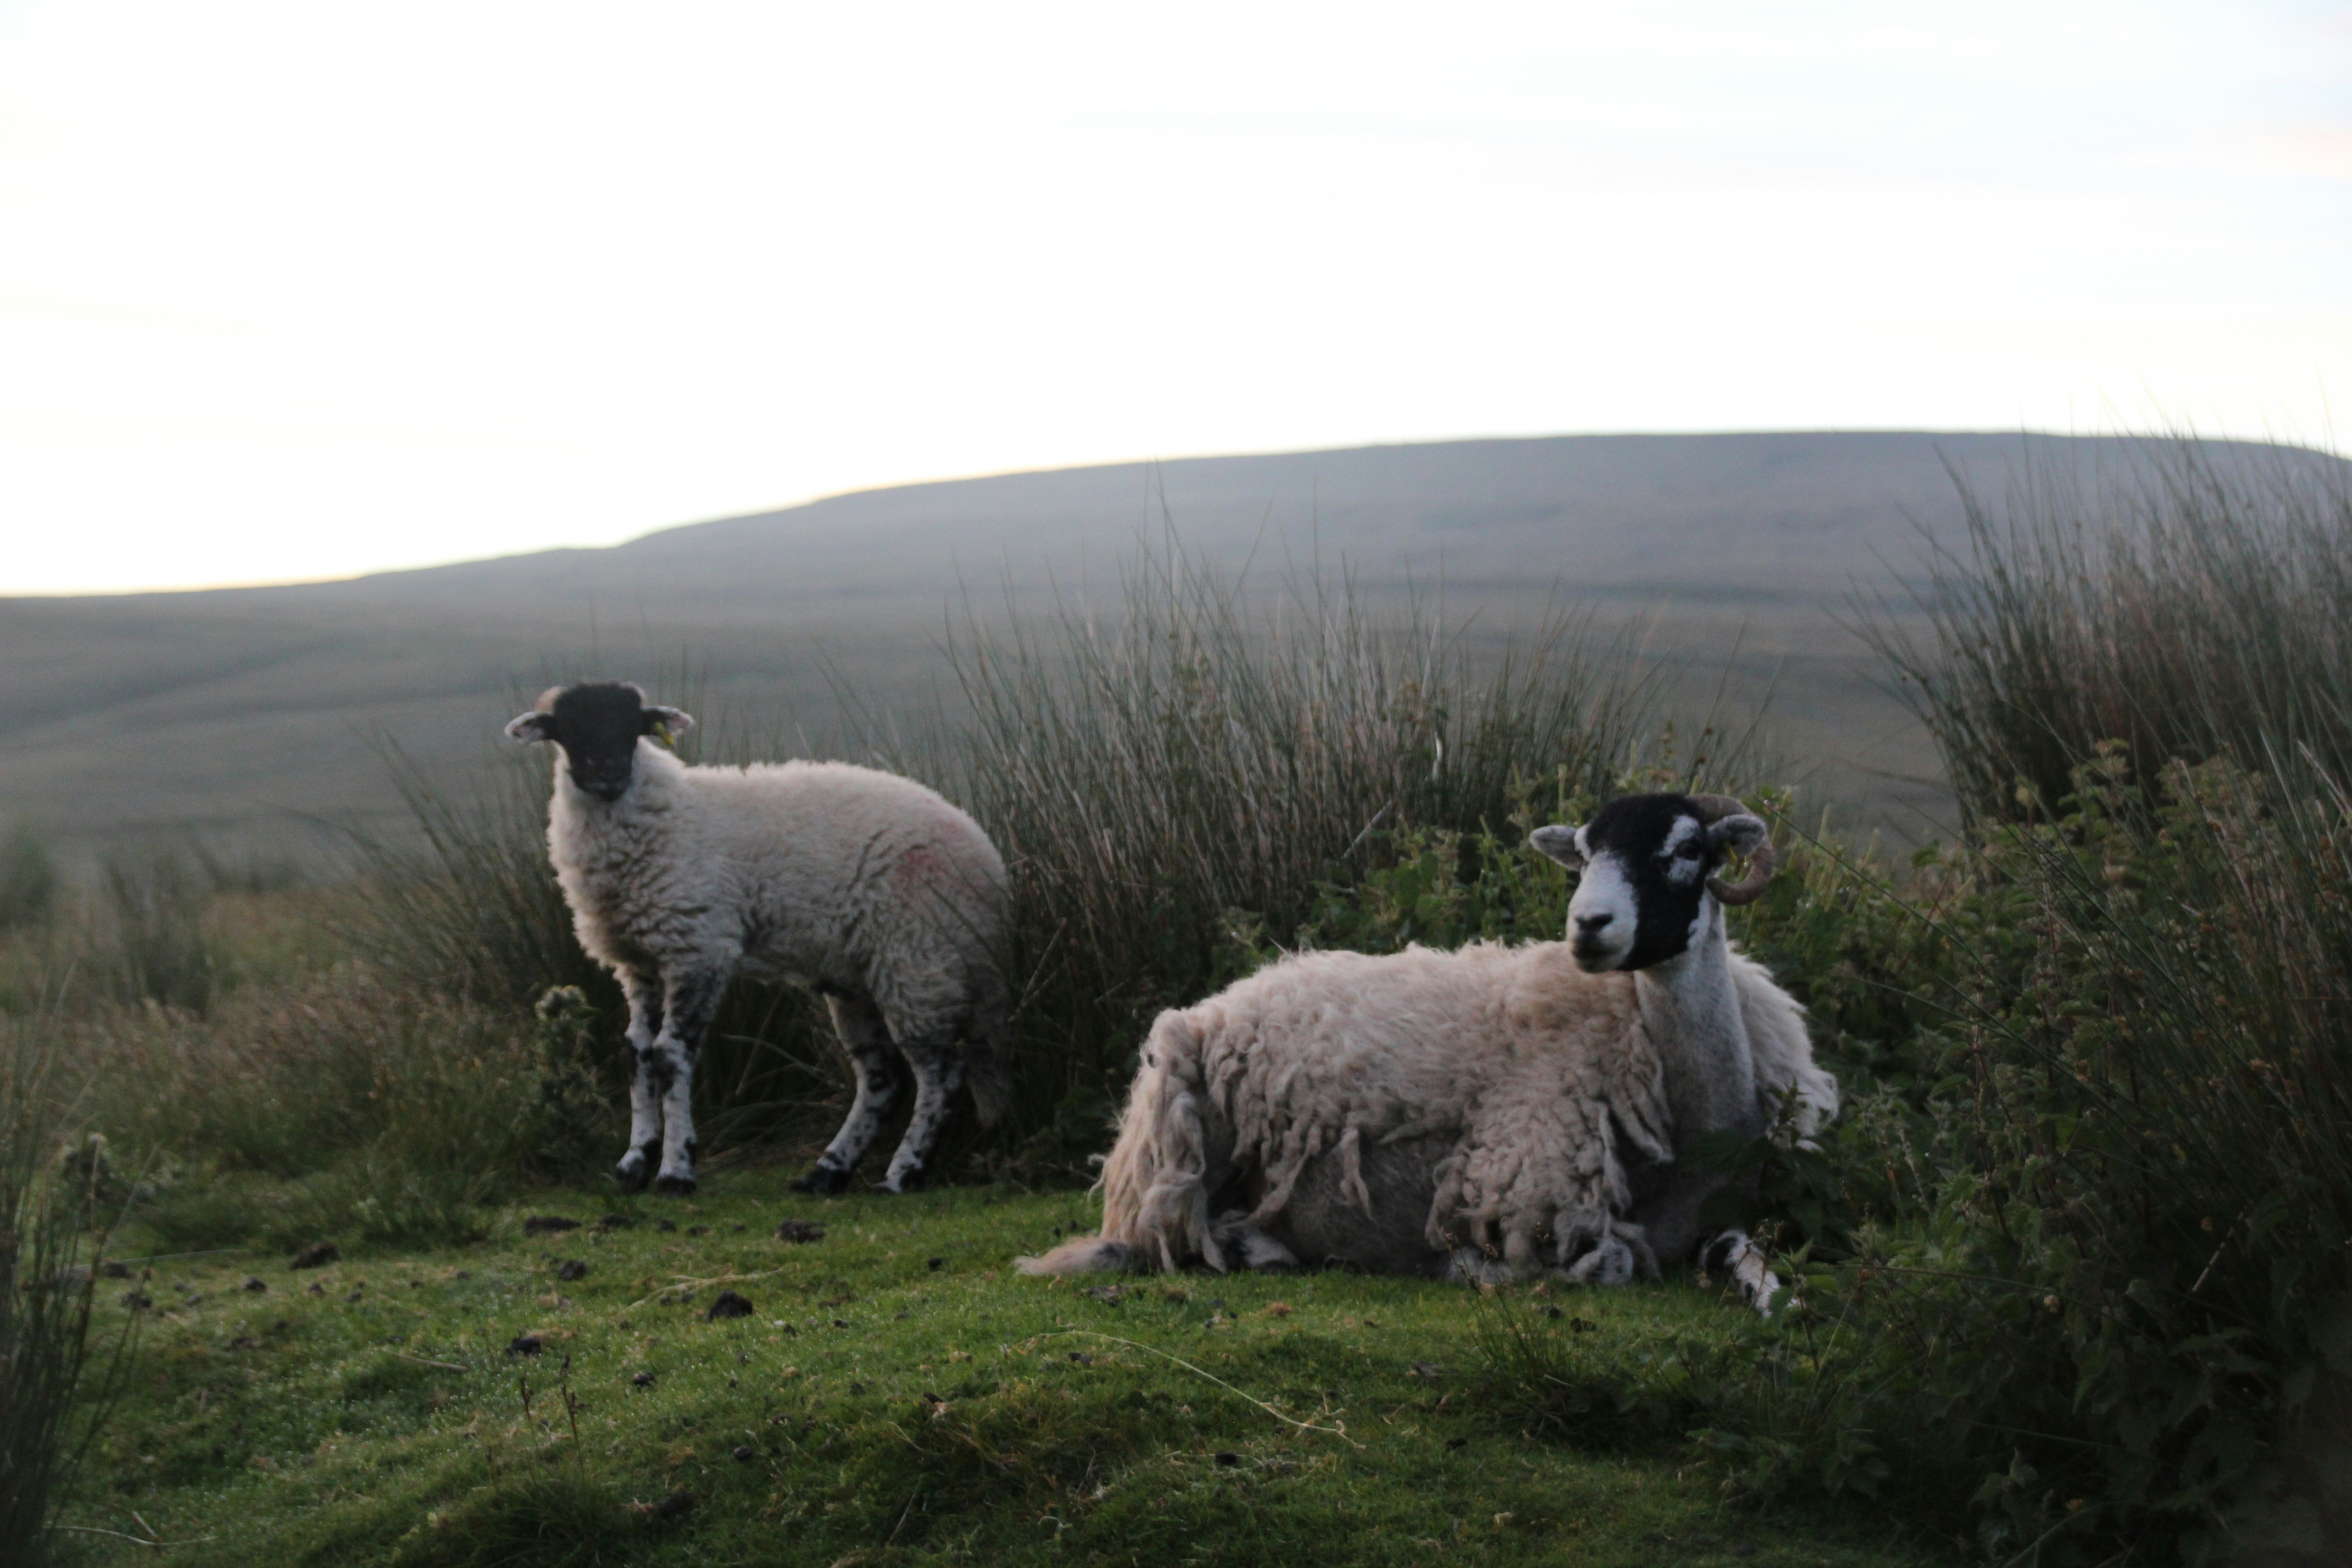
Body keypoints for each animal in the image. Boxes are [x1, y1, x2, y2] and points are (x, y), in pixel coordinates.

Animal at [505, 681, 1013, 1197]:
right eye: (569, 730)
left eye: (633, 726)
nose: (609, 773)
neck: (667, 816)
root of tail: (988, 858)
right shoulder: (642, 961)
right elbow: (637, 1053)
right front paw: (634, 1163)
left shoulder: (699, 950)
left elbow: (670, 1056)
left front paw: (676, 1169)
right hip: (861, 976)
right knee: (882, 1079)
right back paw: (827, 1172)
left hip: (920, 960)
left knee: (939, 1073)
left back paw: (900, 1175)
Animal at [1017, 792, 1836, 1309]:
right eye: (1581, 855)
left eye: (1688, 848)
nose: (1588, 924)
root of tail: (1220, 998)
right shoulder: (1521, 1191)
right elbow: (1599, 1265)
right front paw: (1461, 1265)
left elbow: (1748, 1264)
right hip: (1181, 1146)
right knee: (1167, 1240)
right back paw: (1251, 1247)